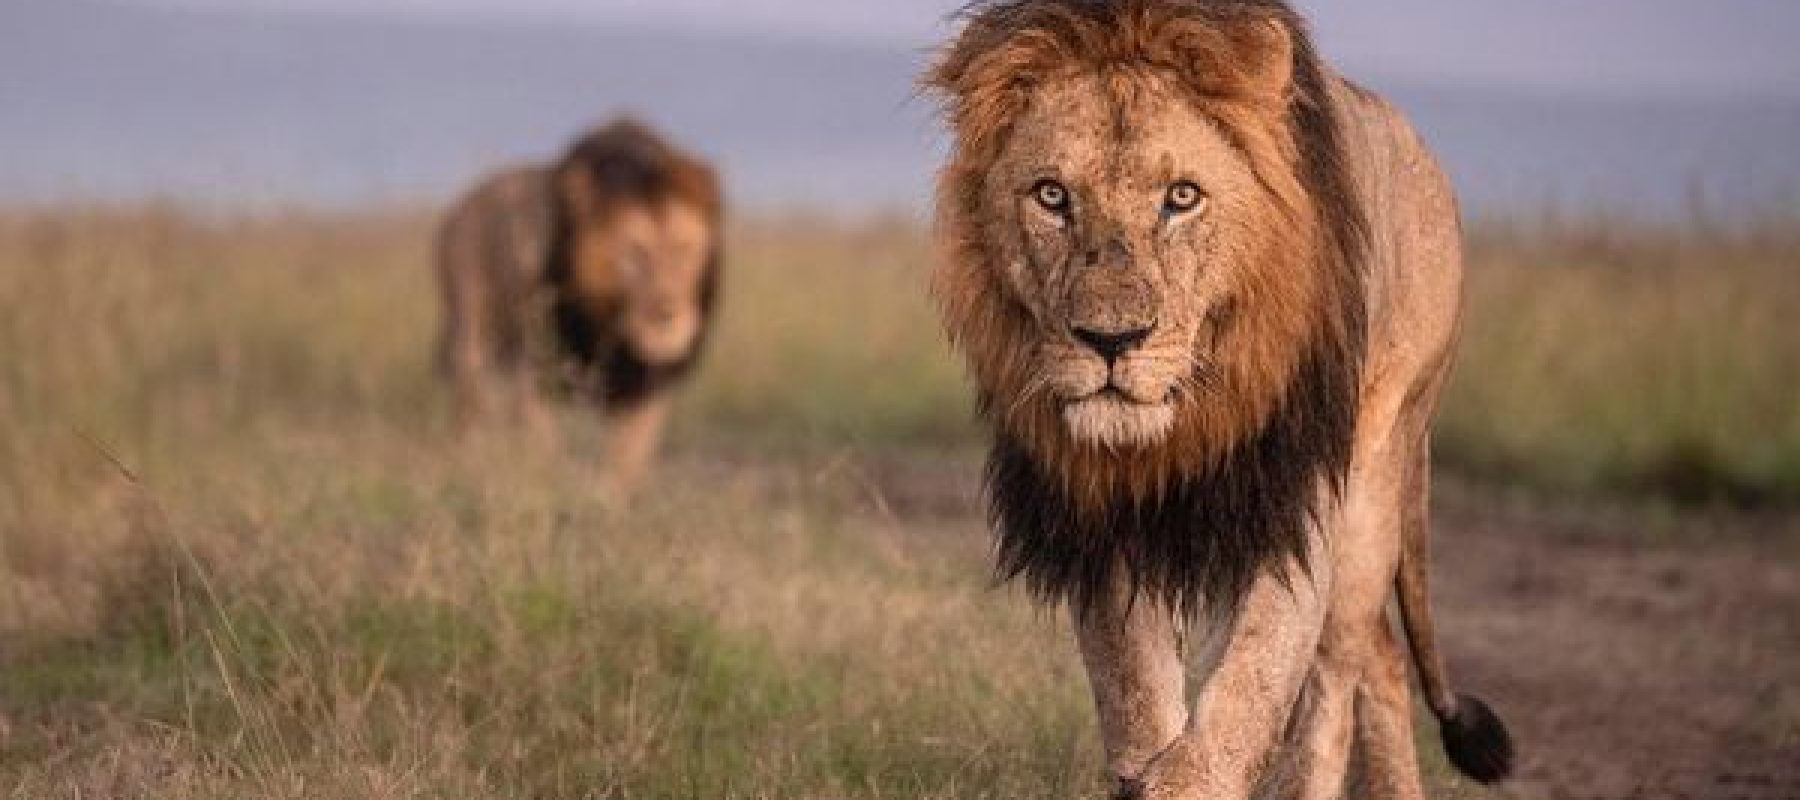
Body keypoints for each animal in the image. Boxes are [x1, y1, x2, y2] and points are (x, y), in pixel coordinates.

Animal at [435, 119, 722, 490]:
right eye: (635, 251)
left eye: (684, 247)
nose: (666, 315)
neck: (611, 322)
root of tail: (459, 208)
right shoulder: (538, 370)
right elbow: (542, 446)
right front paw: (544, 485)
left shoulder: (646, 390)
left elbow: (625, 463)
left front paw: (612, 498)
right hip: (471, 335)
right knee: (468, 408)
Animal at [924, 2, 1513, 797]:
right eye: (1052, 195)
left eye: (1182, 197)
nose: (1112, 340)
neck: (1186, 422)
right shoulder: (1097, 507)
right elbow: (1137, 692)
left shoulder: (1296, 492)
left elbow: (1251, 691)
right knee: (1381, 659)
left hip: (1378, 471)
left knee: (1344, 669)